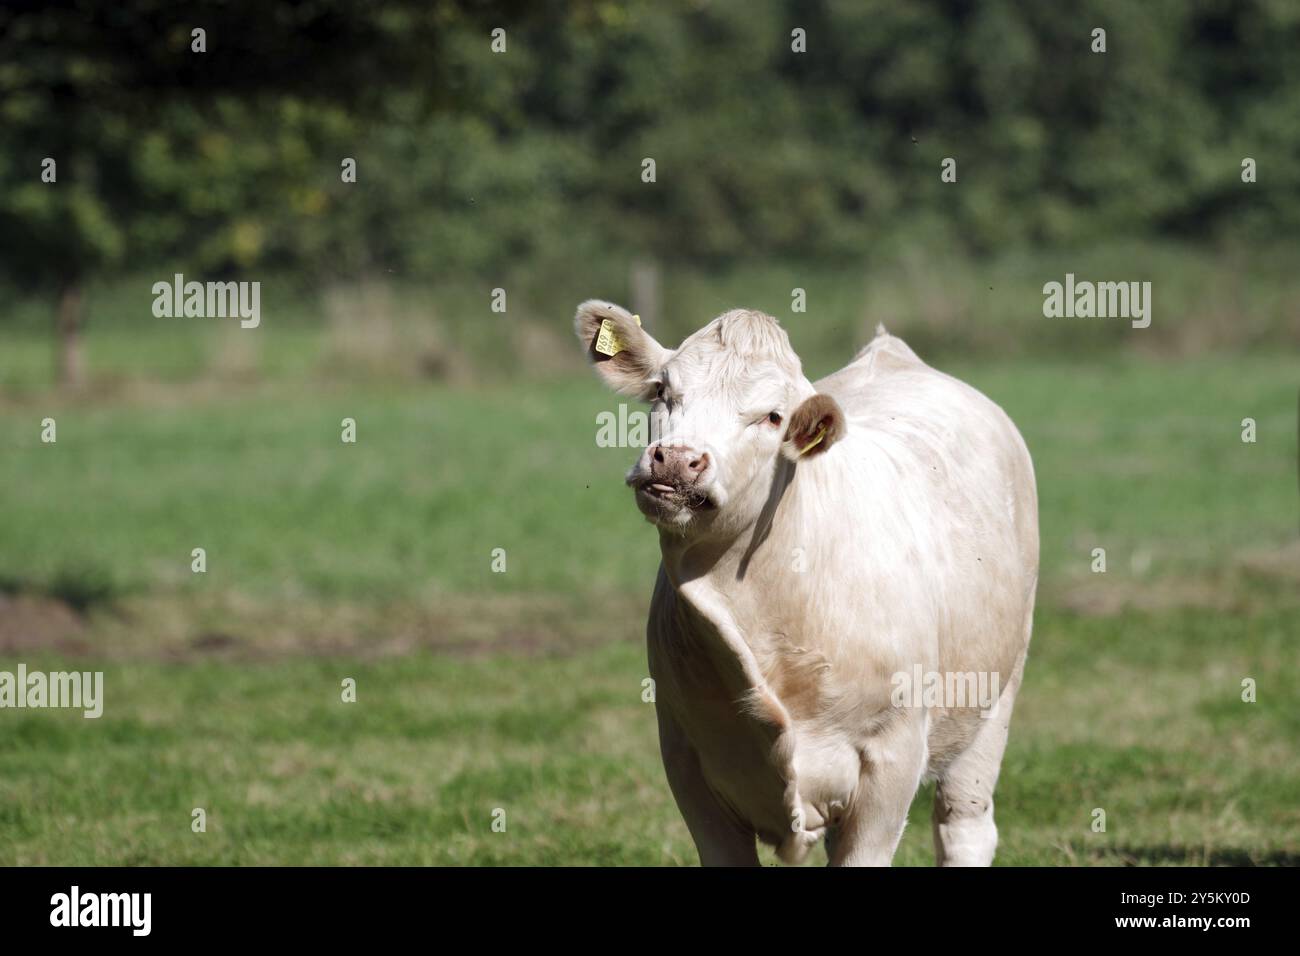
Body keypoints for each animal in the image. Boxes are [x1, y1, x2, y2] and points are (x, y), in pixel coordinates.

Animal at [574, 300, 1039, 866]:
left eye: (773, 416)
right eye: (663, 390)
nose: (678, 459)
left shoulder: (892, 759)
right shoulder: (686, 759)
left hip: (995, 696)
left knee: (964, 826)